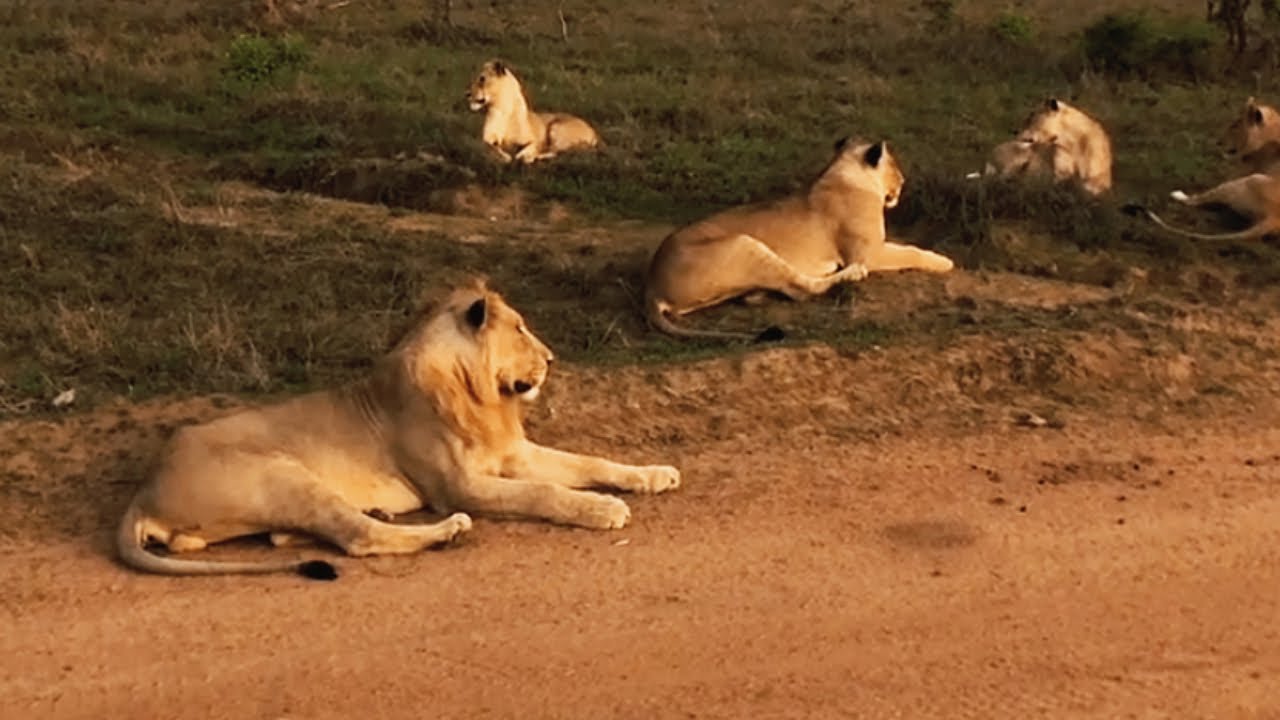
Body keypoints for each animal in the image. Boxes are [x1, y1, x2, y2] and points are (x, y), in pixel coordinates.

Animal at [117, 282, 681, 579]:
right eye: (520, 329)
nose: (551, 358)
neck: (478, 394)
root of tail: (145, 488)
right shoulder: (459, 485)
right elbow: (544, 493)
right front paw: (603, 509)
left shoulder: (512, 453)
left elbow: (590, 462)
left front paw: (655, 474)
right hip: (283, 476)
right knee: (357, 538)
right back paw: (448, 530)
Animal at [465, 60, 601, 164]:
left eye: (482, 78)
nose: (466, 94)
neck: (500, 110)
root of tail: (593, 132)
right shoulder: (484, 140)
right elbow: (492, 148)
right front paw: (505, 156)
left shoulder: (535, 140)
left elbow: (531, 147)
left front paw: (523, 156)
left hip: (556, 127)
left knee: (556, 151)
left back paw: (535, 157)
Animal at [645, 138, 954, 340]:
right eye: (895, 168)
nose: (903, 182)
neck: (842, 171)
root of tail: (651, 286)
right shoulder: (868, 253)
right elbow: (911, 251)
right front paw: (944, 261)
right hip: (744, 244)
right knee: (803, 289)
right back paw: (851, 275)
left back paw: (757, 294)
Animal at [1125, 97, 1280, 241]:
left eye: (1234, 126)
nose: (1219, 142)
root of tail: (1272, 218)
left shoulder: (1246, 169)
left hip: (1249, 180)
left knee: (1197, 200)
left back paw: (1178, 195)